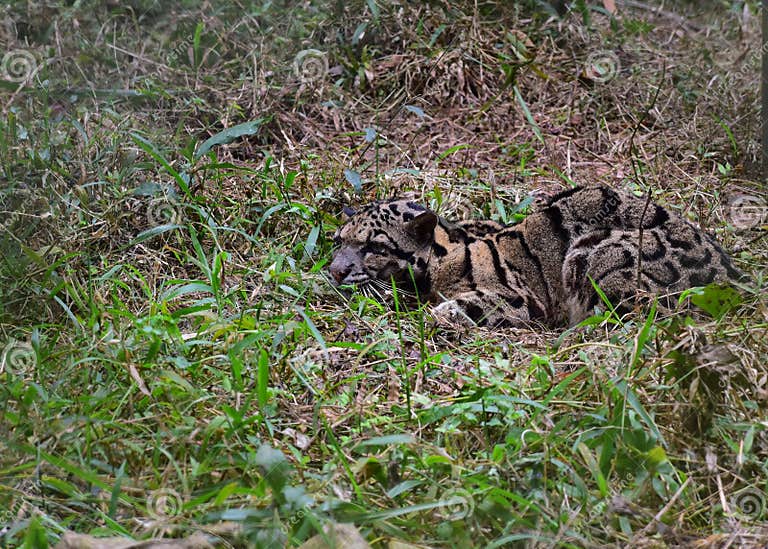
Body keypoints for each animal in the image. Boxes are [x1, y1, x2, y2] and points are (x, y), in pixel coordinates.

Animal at [328, 185, 745, 327]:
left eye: (374, 247)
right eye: (337, 241)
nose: (334, 272)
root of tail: (736, 282)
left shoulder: (520, 299)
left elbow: (458, 306)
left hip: (600, 253)